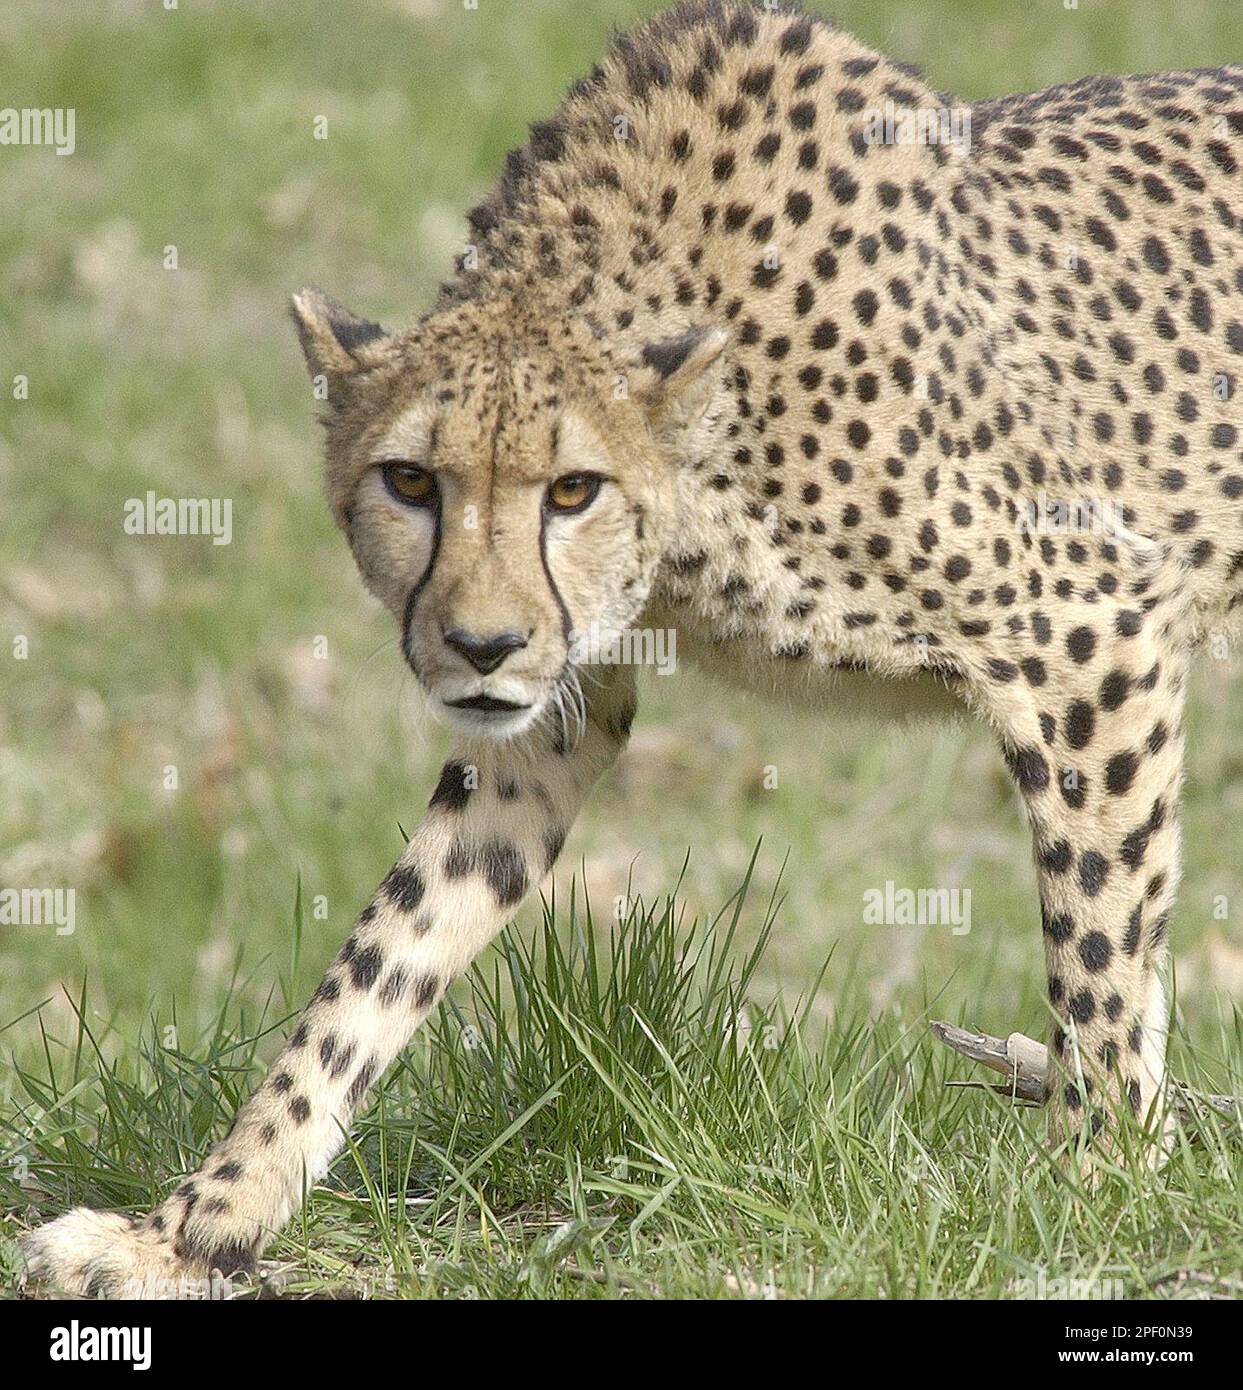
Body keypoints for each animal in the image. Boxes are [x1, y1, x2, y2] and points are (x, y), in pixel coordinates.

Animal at [21, 0, 1243, 1297]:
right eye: (410, 481)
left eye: (572, 488)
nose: (481, 644)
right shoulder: (550, 718)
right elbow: (382, 958)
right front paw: (198, 1221)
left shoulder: (1093, 625)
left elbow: (1099, 943)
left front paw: (1103, 1182)